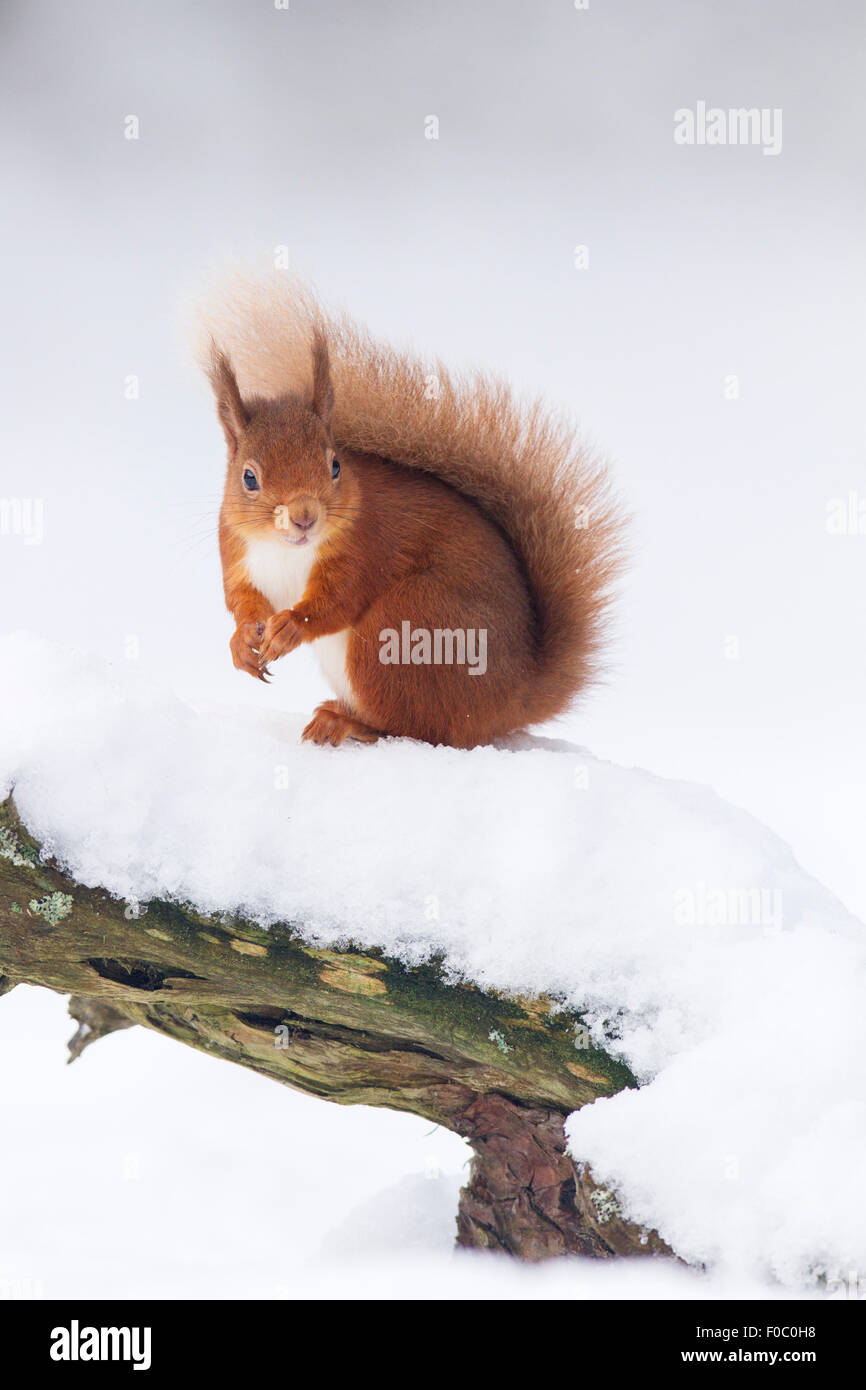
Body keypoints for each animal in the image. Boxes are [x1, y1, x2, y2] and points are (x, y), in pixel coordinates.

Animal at [195, 271, 624, 748]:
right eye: (249, 477)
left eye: (335, 465)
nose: (305, 517)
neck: (287, 550)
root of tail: (514, 698)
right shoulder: (237, 553)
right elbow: (241, 601)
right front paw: (240, 643)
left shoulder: (365, 547)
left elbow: (339, 600)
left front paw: (291, 626)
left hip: (404, 627)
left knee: (416, 728)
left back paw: (347, 722)